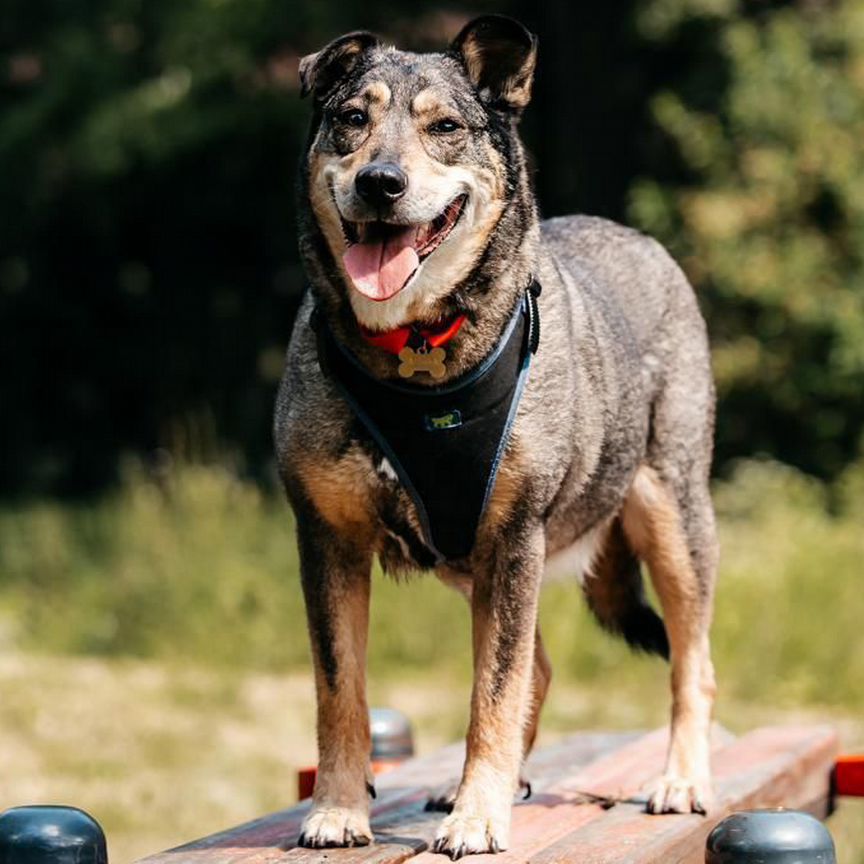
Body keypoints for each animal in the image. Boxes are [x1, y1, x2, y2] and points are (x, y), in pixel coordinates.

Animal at [276, 16, 716, 860]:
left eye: (445, 127)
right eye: (351, 118)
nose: (379, 182)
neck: (413, 351)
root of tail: (640, 238)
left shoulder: (514, 536)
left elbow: (494, 689)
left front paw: (478, 819)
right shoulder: (328, 536)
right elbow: (338, 688)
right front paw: (339, 810)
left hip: (671, 515)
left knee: (691, 662)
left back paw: (681, 779)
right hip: (466, 563)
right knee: (539, 666)